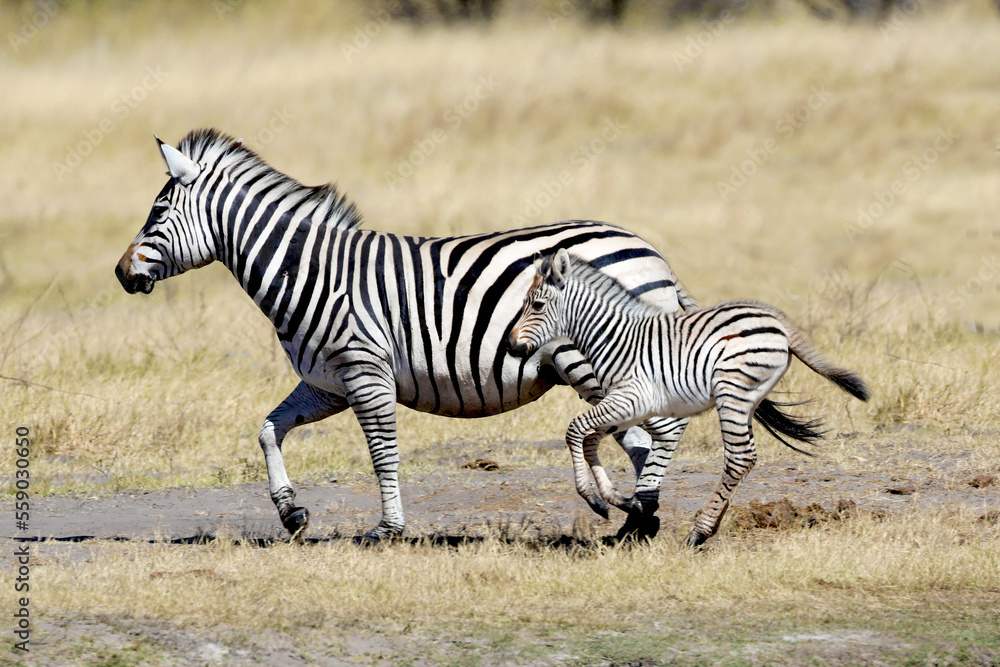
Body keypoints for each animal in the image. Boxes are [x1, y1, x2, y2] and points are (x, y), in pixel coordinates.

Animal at [115, 128, 704, 541]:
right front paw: (290, 513)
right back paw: (636, 522)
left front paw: (387, 529)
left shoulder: (365, 371)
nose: (121, 274)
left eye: (158, 213)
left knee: (662, 431)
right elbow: (268, 430)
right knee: (639, 436)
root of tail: (649, 249)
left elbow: (382, 453)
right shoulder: (328, 382)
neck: (311, 271)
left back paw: (646, 511)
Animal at [507, 249, 869, 547]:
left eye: (536, 305)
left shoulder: (630, 398)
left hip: (731, 394)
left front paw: (595, 499)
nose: (510, 347)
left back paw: (699, 532)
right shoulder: (626, 405)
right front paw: (620, 500)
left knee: (740, 458)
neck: (613, 337)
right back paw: (711, 524)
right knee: (745, 457)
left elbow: (576, 430)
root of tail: (773, 317)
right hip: (748, 397)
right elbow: (591, 439)